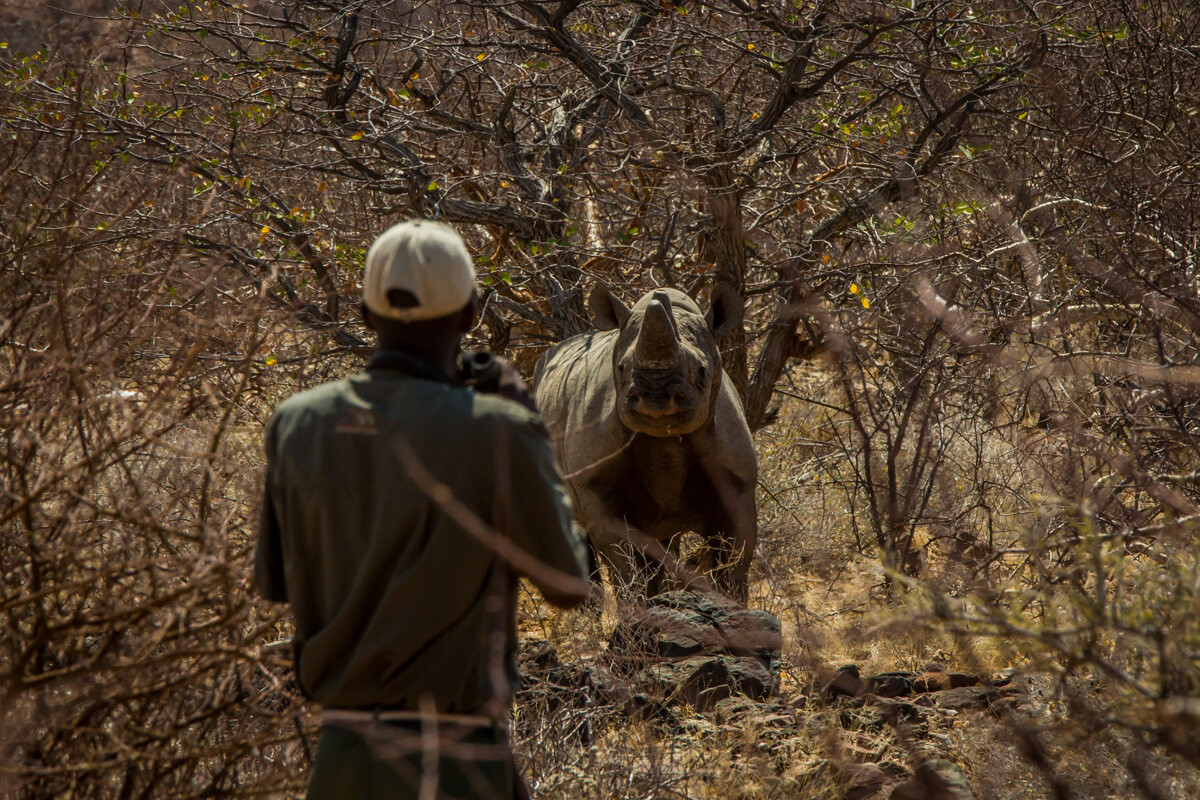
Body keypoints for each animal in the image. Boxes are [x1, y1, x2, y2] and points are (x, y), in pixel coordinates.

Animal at [533, 285, 757, 602]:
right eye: (621, 367)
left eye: (702, 369)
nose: (655, 395)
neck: (665, 442)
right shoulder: (596, 486)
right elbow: (624, 563)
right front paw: (637, 613)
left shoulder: (738, 485)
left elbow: (734, 562)